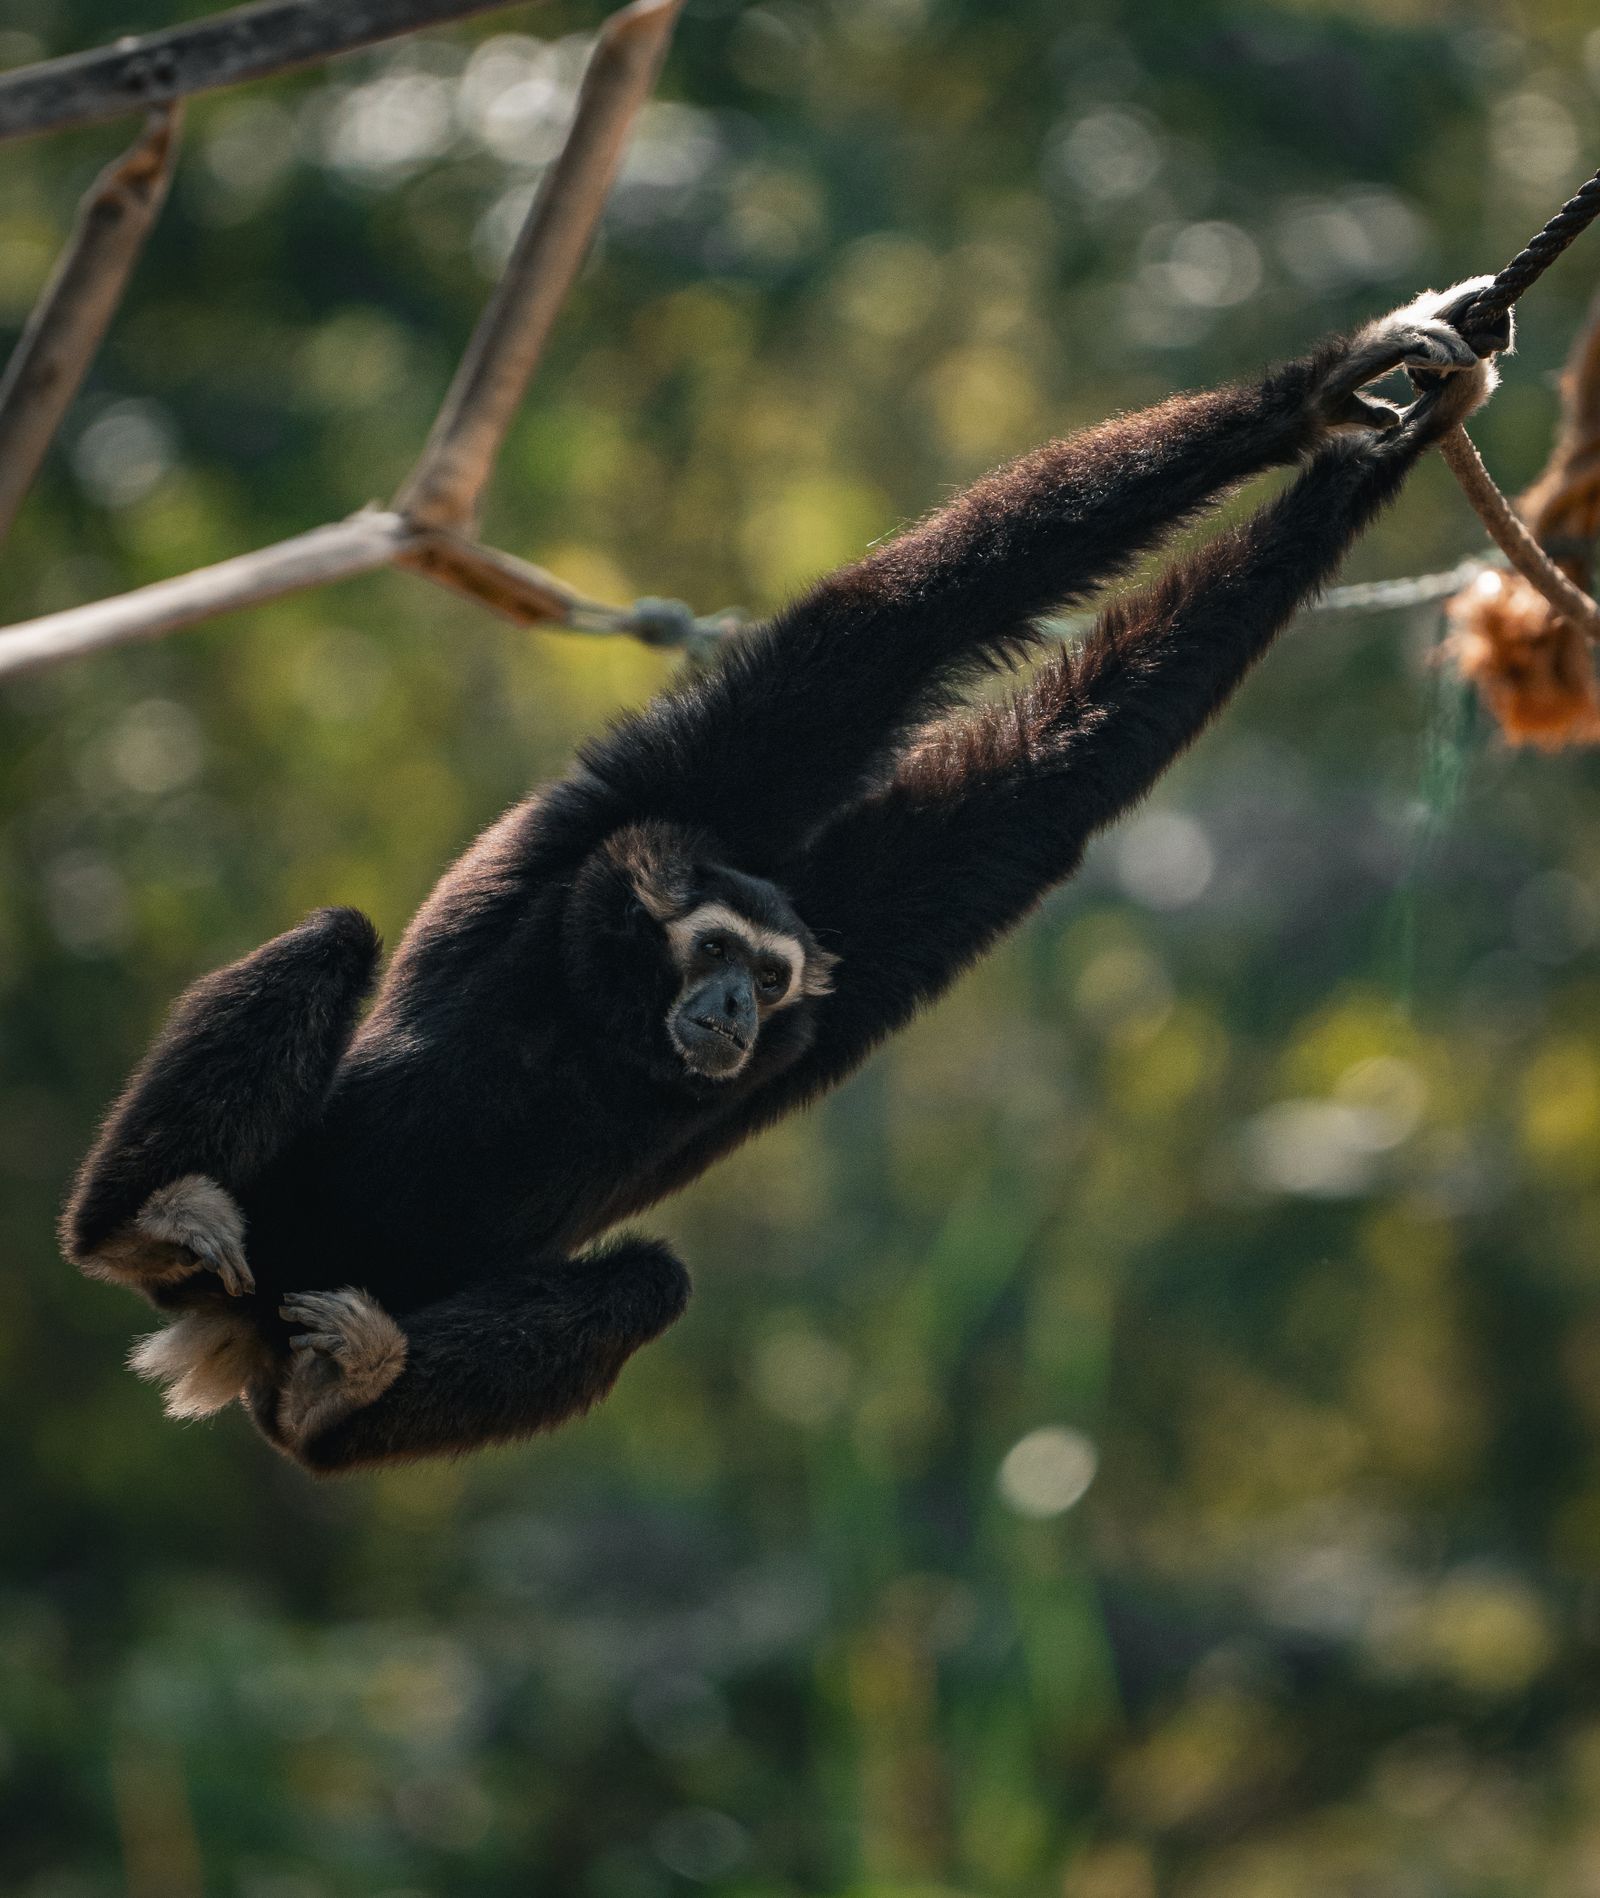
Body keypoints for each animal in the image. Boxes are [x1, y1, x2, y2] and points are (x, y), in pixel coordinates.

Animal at [59, 282, 1509, 1474]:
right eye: (713, 953)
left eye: (769, 980)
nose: (733, 1015)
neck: (599, 1023)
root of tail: (237, 1327)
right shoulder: (673, 785)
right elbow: (899, 620)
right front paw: (1332, 390)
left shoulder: (841, 944)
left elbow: (1039, 782)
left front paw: (1365, 452)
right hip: (268, 1215)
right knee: (332, 938)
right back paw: (142, 1222)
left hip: (331, 1312)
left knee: (643, 1285)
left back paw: (331, 1403)